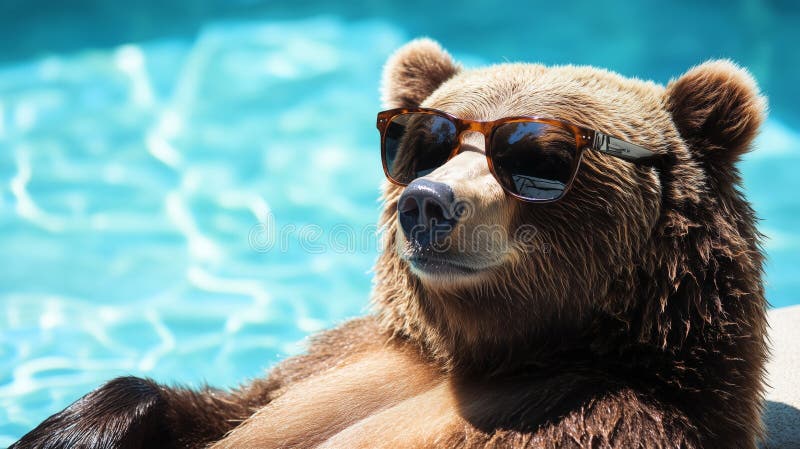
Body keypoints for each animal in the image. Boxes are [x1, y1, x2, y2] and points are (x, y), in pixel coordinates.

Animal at [11, 38, 767, 449]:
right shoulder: (339, 357)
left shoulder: (597, 418)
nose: (425, 202)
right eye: (427, 140)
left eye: (539, 154)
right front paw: (77, 425)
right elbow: (215, 407)